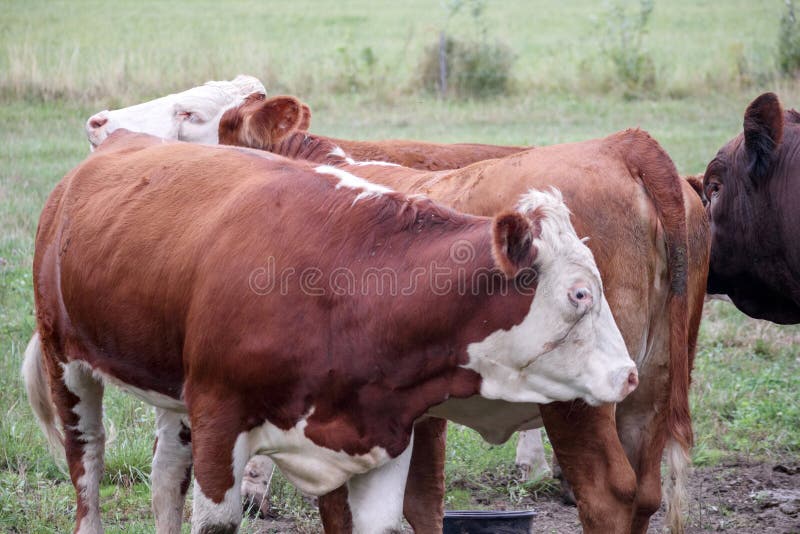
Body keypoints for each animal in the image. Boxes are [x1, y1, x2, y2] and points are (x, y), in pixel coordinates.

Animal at [79, 84, 708, 532]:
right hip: (649, 387)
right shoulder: (410, 412)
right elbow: (424, 502)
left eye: (191, 113)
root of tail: (624, 145)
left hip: (580, 400)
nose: (101, 125)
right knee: (646, 493)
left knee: (606, 495)